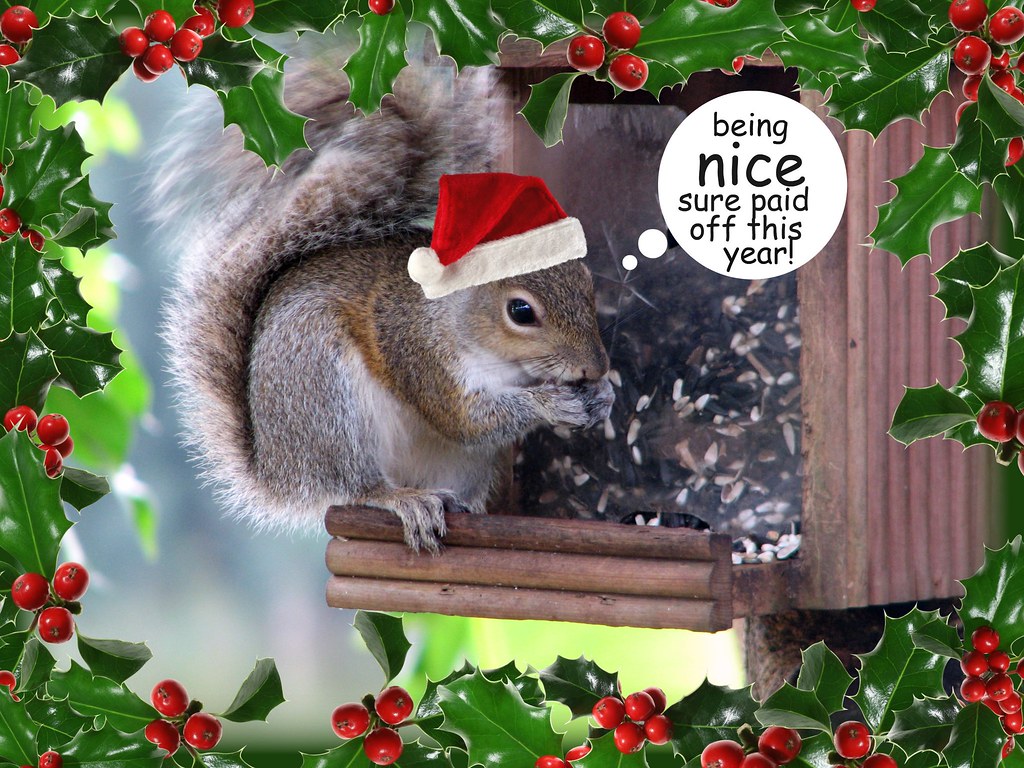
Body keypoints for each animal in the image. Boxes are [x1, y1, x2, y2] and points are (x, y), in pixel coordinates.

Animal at [159, 49, 613, 551]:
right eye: (520, 311)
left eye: (587, 282)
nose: (595, 367)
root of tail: (278, 469)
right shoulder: (419, 352)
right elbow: (466, 420)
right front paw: (551, 404)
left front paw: (603, 397)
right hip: (324, 391)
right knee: (357, 487)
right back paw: (402, 499)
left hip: (463, 464)